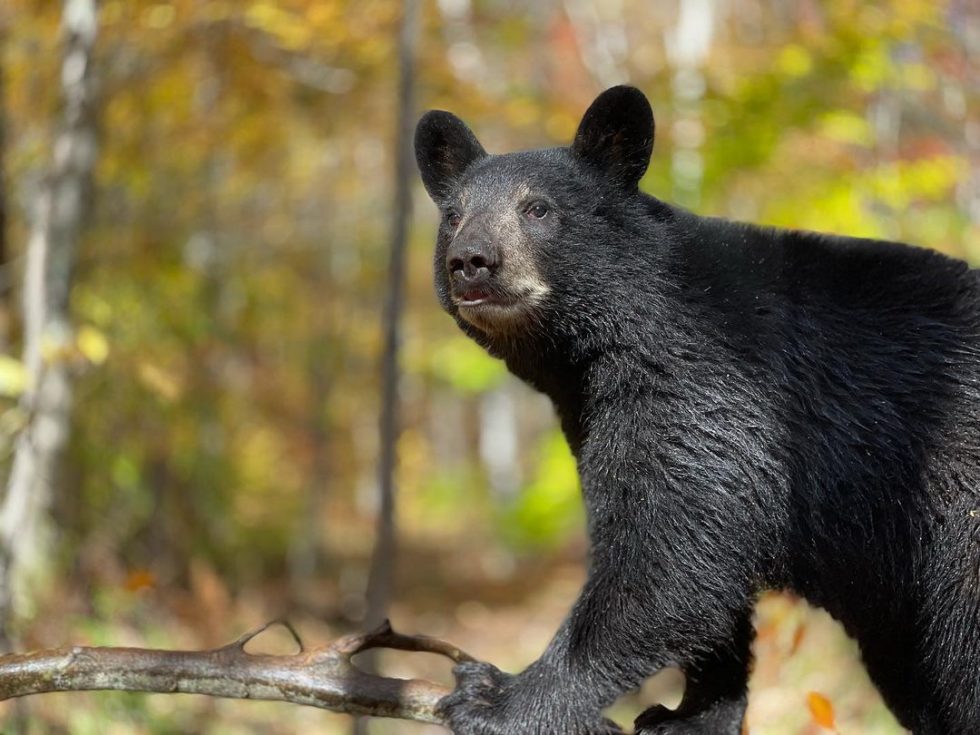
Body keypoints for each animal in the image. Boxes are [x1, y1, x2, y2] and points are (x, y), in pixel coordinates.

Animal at [413, 85, 980, 735]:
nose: (470, 261)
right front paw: (696, 713)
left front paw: (501, 698)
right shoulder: (595, 412)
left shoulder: (711, 377)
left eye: (537, 209)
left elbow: (671, 547)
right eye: (453, 215)